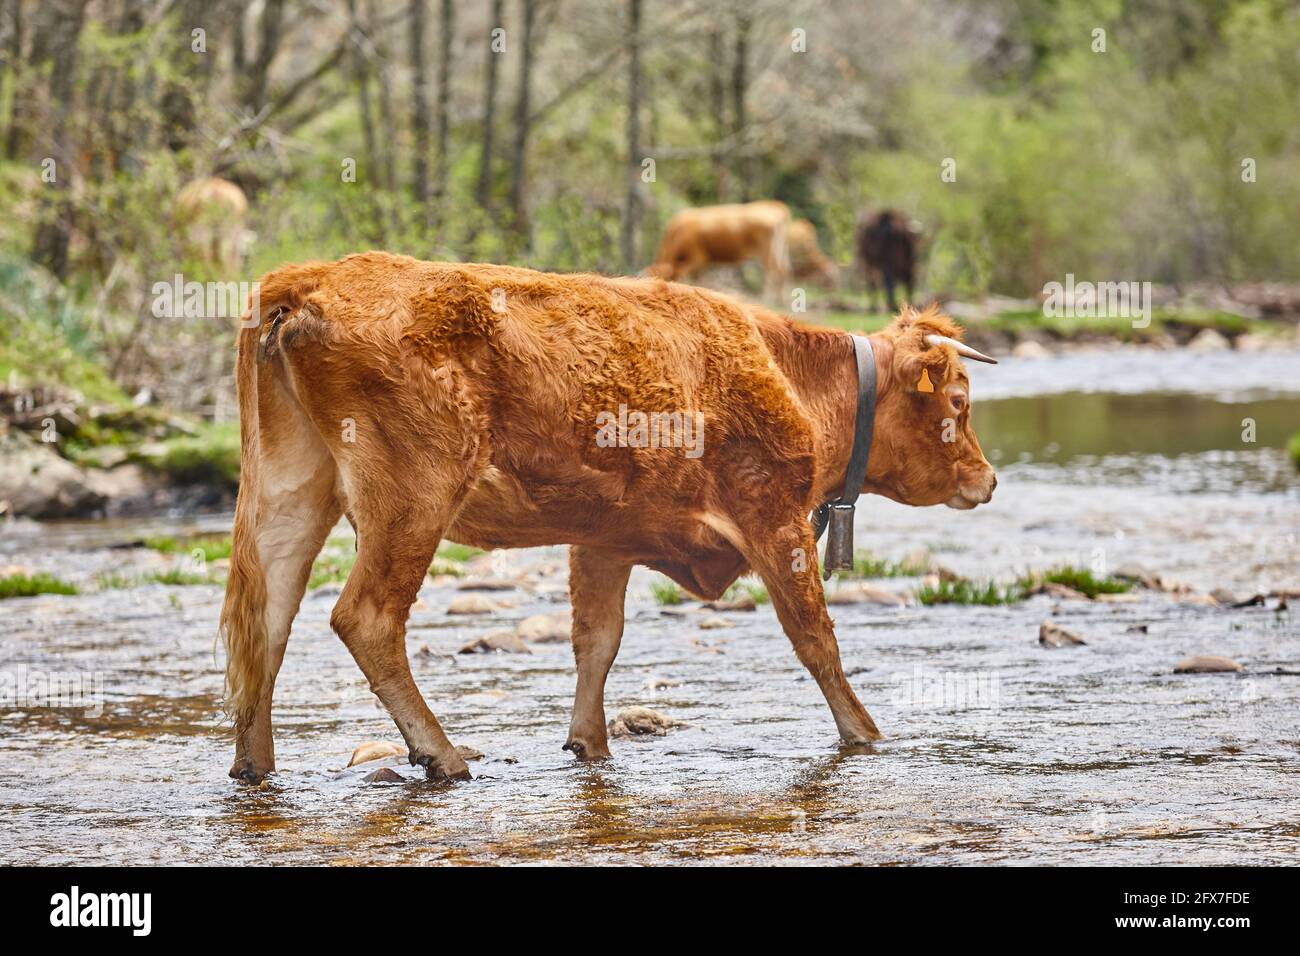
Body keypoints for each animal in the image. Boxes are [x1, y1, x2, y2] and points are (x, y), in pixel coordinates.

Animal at [221, 252, 997, 784]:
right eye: (958, 402)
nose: (989, 479)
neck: (787, 376)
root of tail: (310, 276)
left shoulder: (606, 539)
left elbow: (597, 641)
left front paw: (588, 742)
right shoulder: (773, 517)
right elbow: (816, 639)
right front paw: (865, 735)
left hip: (293, 496)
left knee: (268, 620)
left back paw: (254, 763)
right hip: (413, 498)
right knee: (366, 618)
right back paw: (440, 754)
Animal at [645, 200, 791, 302]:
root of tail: (771, 205)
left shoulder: (698, 258)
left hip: (766, 251)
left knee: (772, 272)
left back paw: (767, 299)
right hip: (780, 250)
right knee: (783, 270)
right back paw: (781, 300)